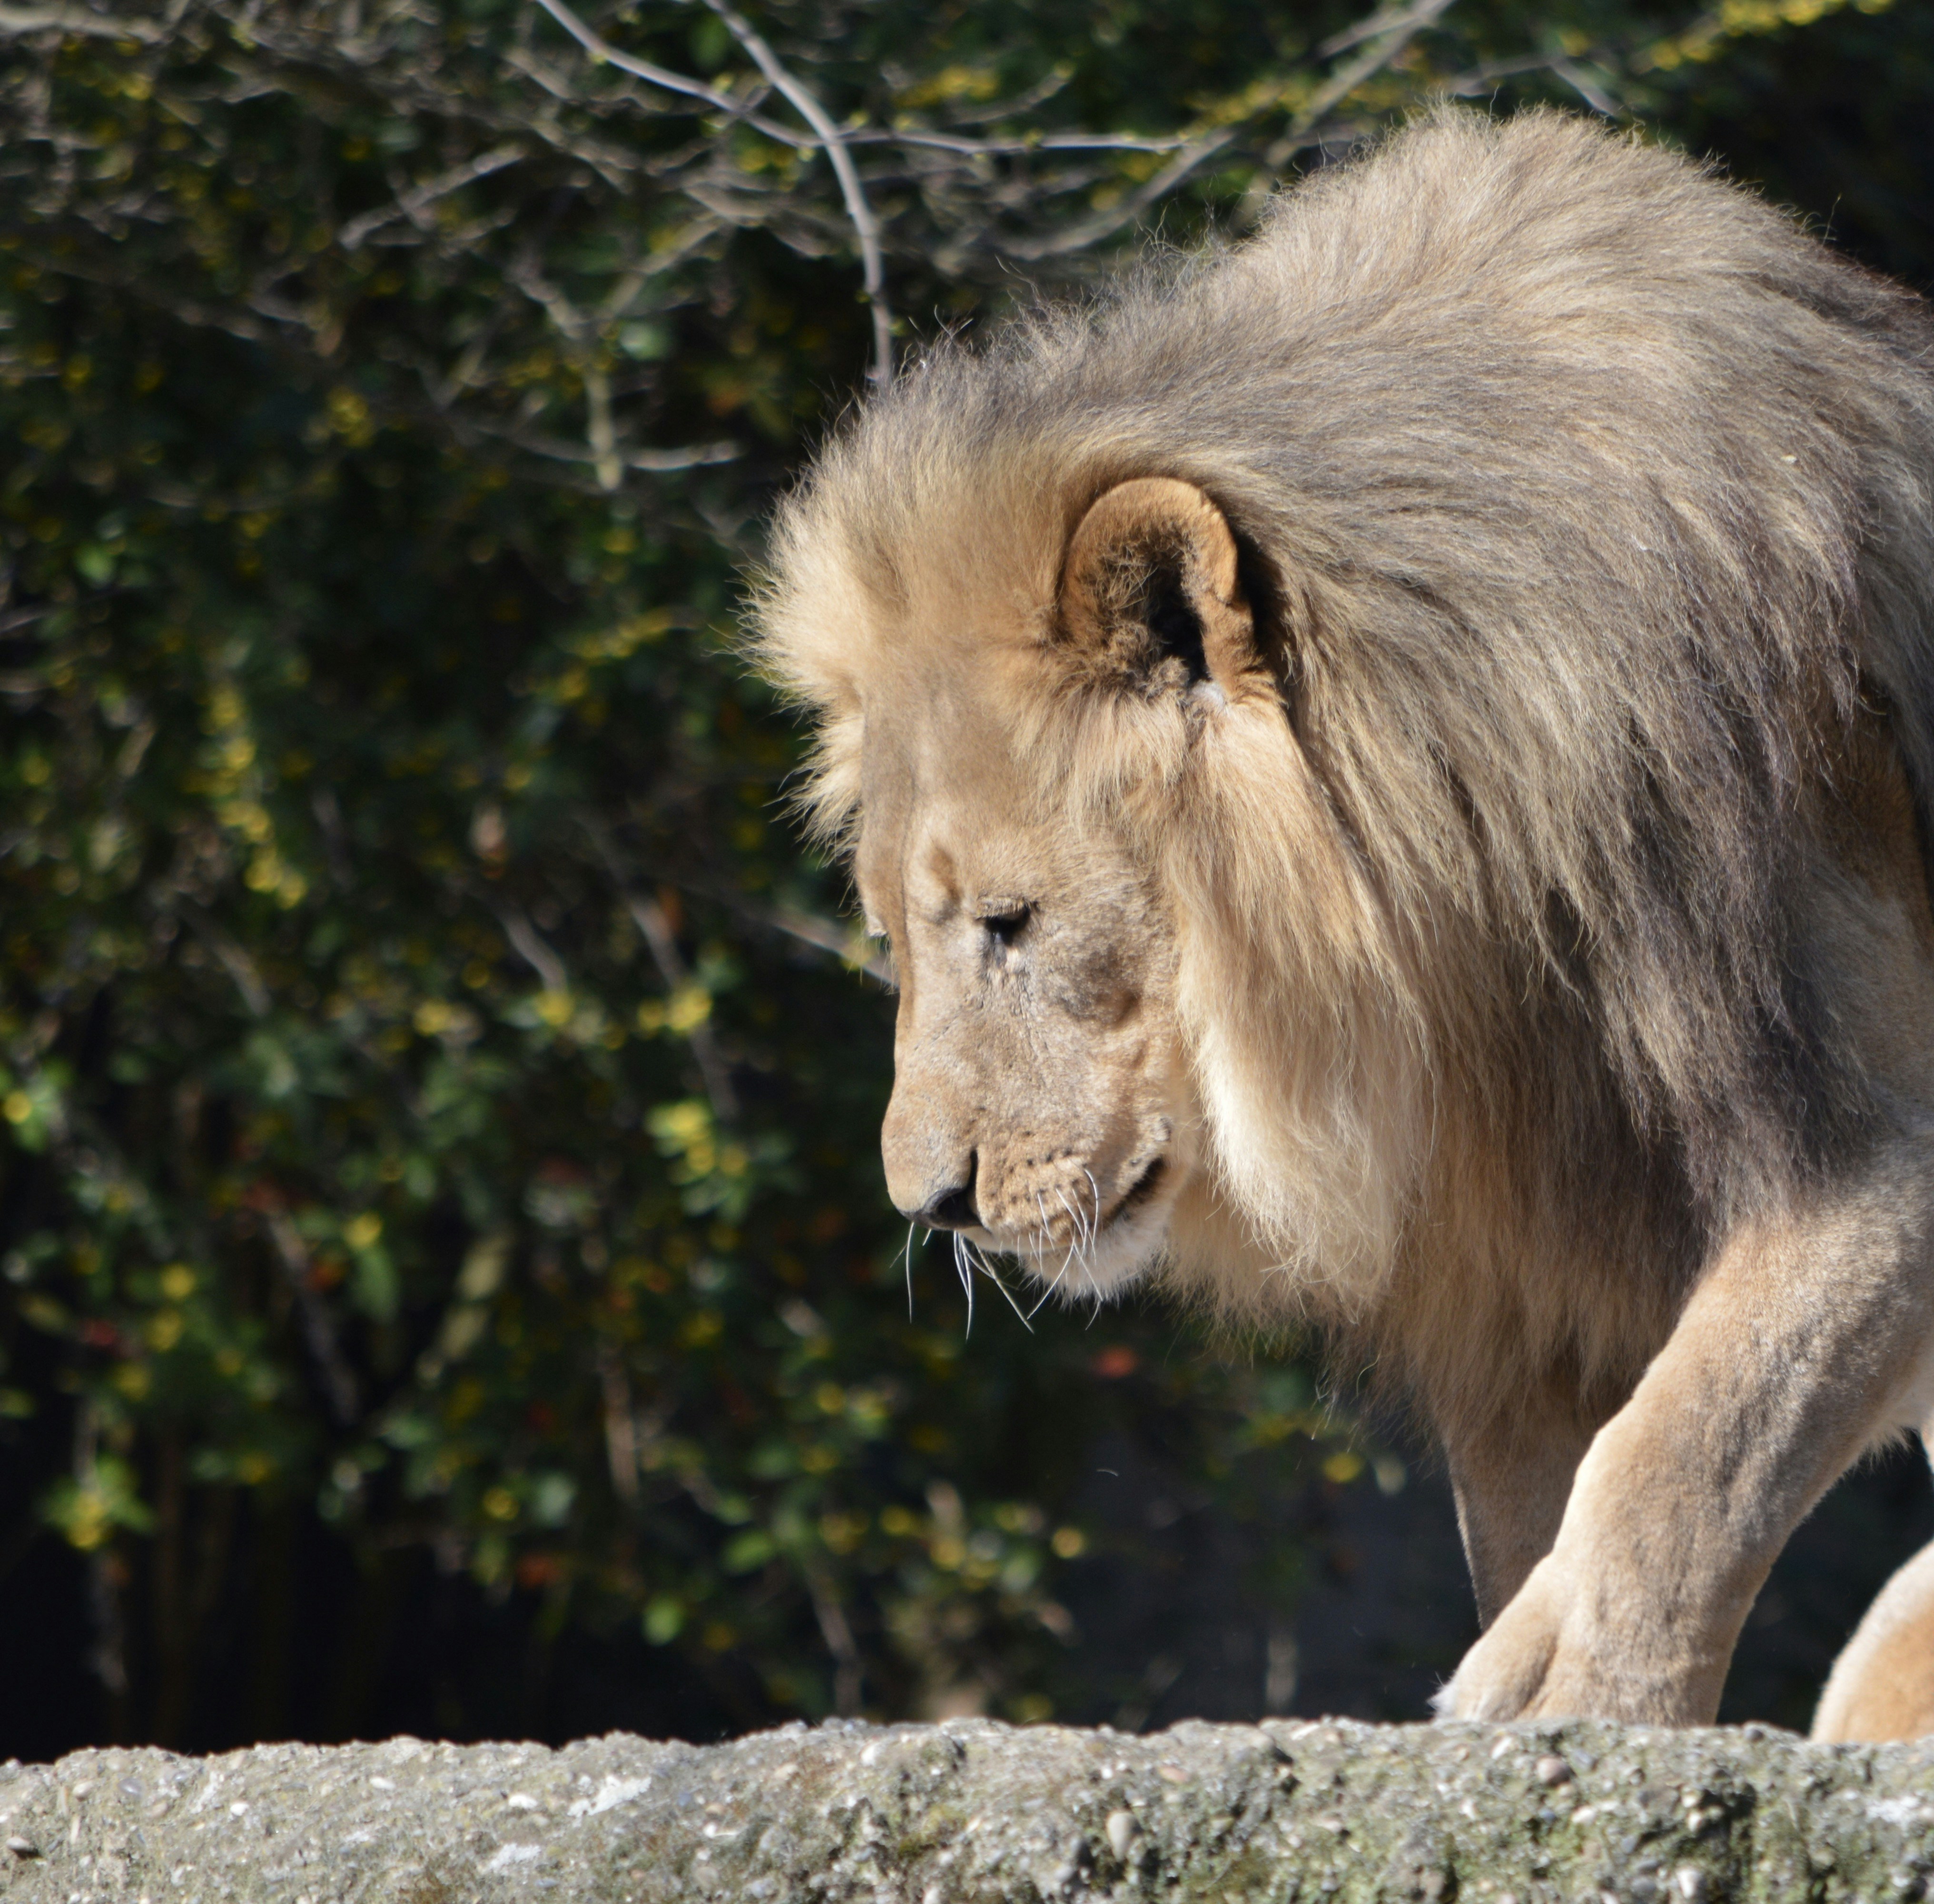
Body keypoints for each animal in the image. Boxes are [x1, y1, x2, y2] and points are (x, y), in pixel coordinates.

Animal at [754, 107, 1934, 1738]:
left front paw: (1564, 1702)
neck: (1480, 953)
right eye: (891, 938)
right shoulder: (1532, 1297)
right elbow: (1565, 1502)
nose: (930, 1206)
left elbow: (1685, 1450)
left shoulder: (1871, 1152)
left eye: (1009, 920)